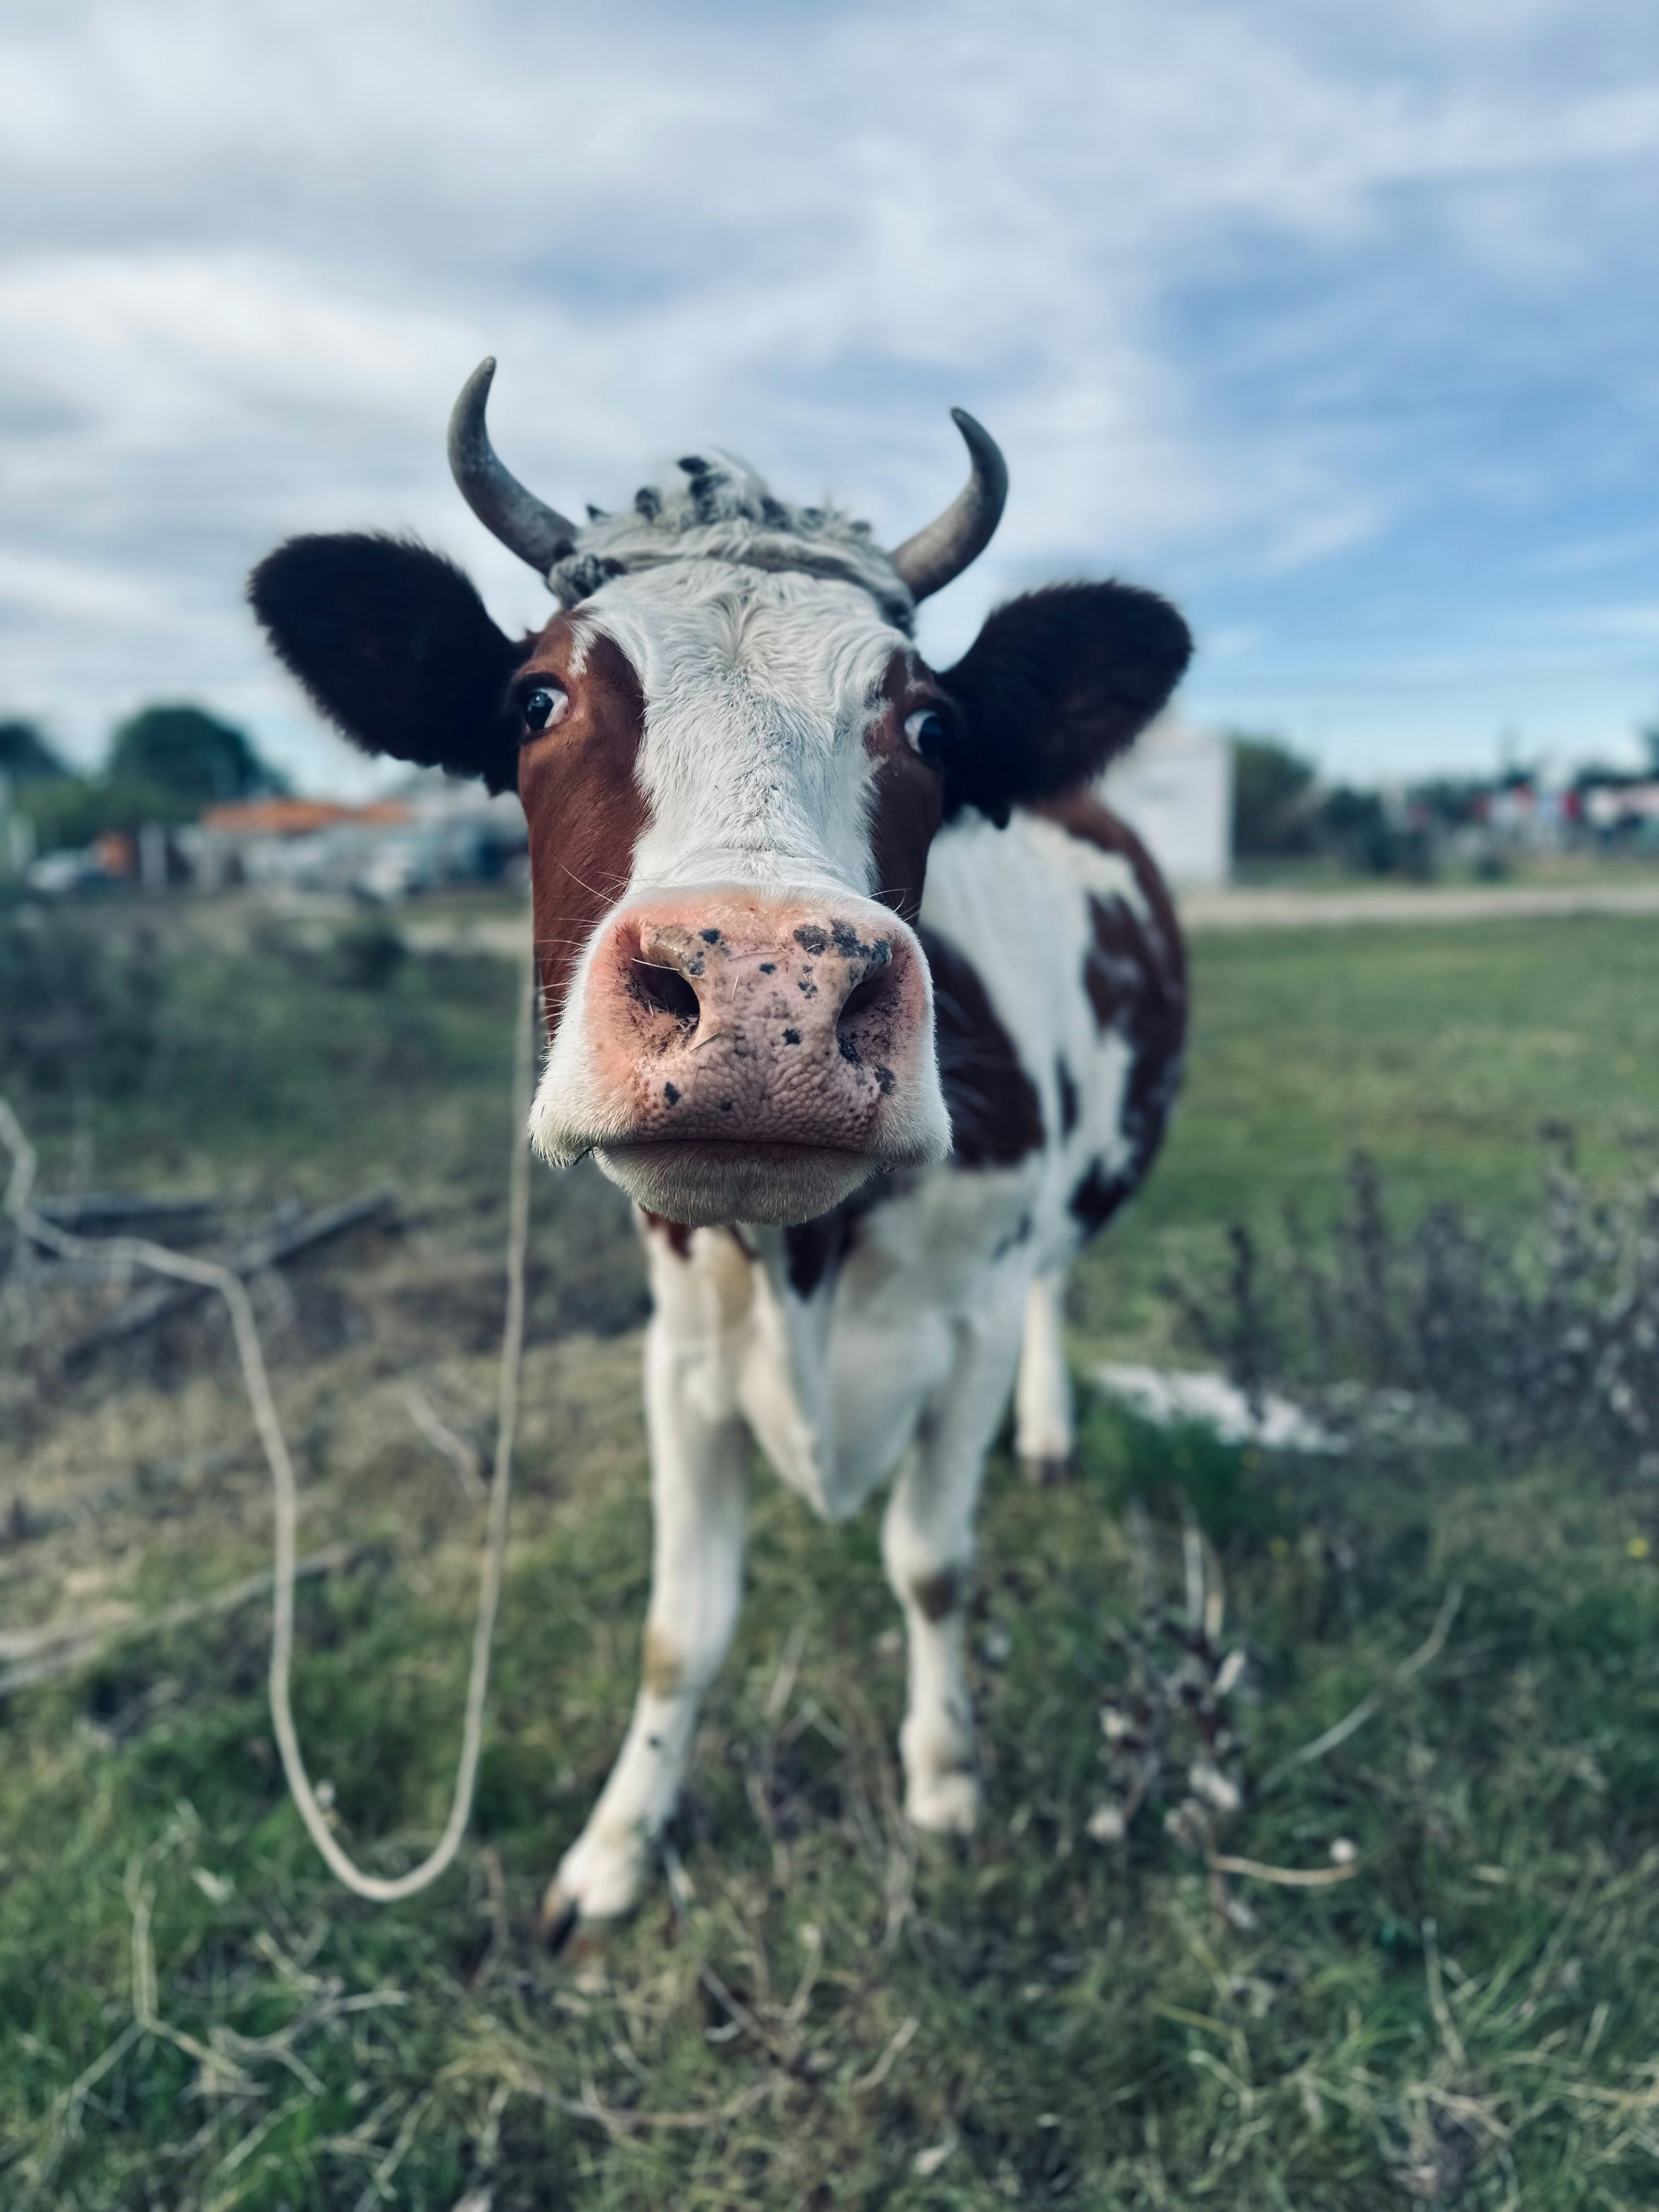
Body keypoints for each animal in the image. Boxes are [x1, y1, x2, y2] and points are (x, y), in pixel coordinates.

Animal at [249, 361, 1191, 1944]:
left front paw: (944, 1779)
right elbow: (678, 1635)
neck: (807, 1257)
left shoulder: (970, 1323)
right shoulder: (680, 1350)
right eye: (535, 699)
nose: (764, 990)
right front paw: (618, 1848)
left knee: (1061, 1277)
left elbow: (933, 1568)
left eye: (931, 728)